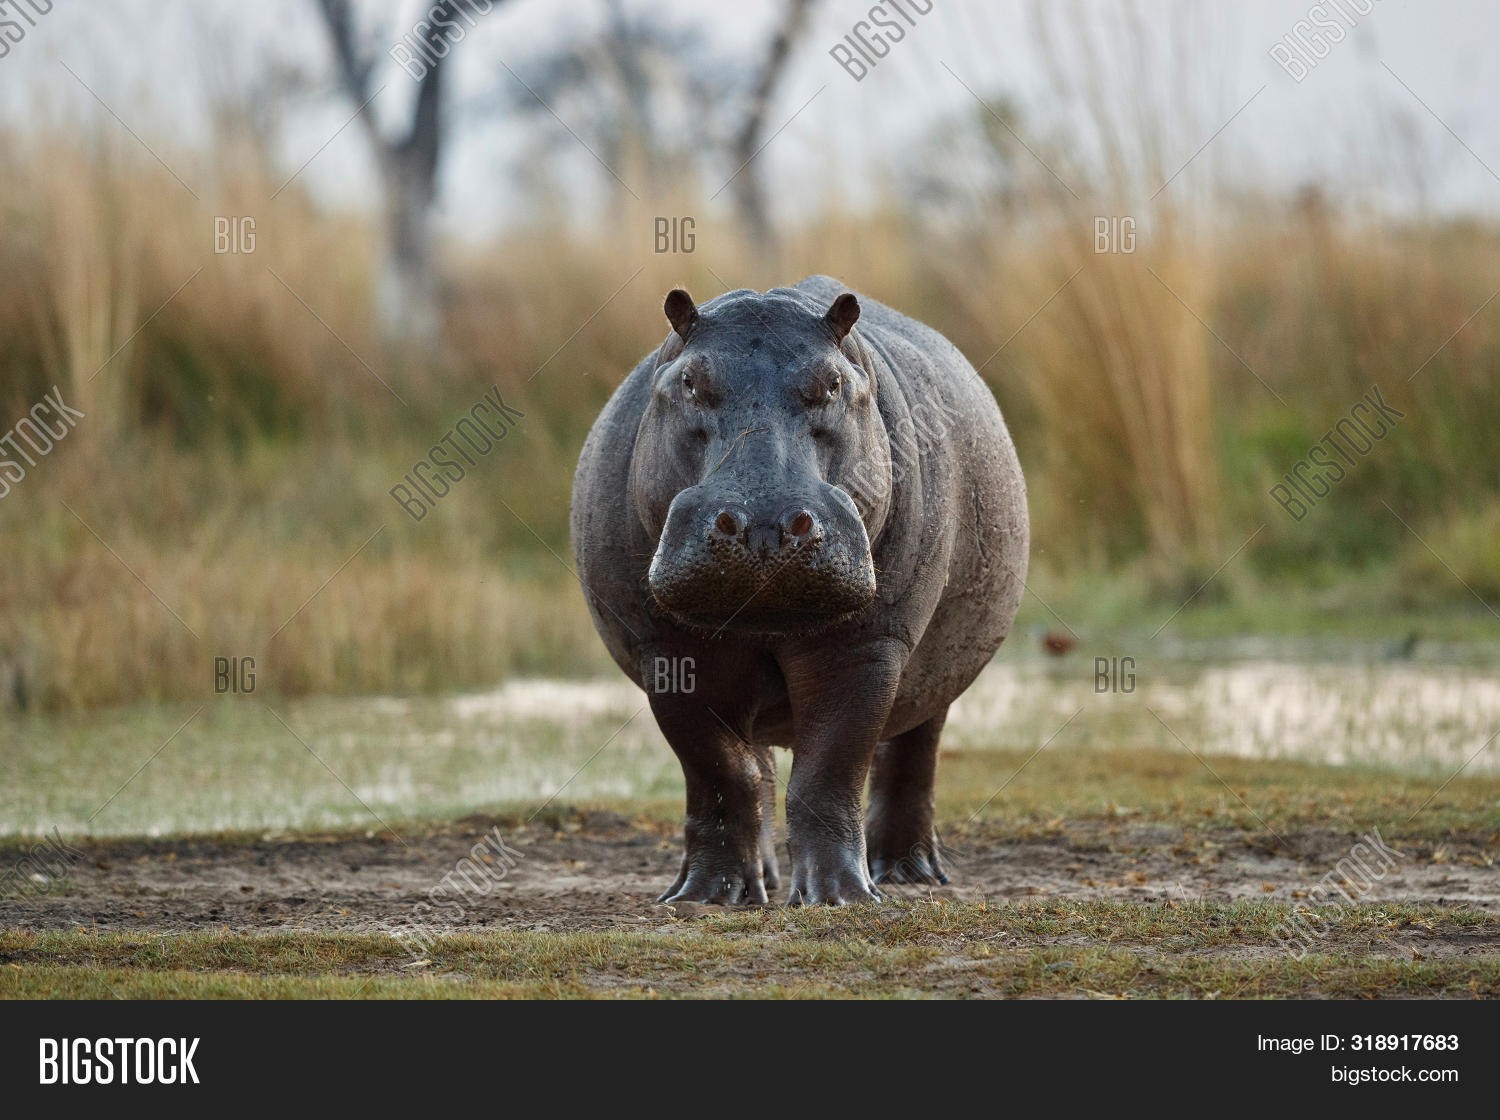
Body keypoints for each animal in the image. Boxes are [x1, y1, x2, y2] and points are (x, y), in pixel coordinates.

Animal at [570, 275, 1028, 905]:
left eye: (832, 383)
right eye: (689, 381)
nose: (764, 521)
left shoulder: (868, 646)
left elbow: (830, 769)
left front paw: (841, 896)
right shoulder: (667, 651)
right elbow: (720, 772)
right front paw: (703, 896)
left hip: (939, 665)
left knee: (915, 750)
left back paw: (905, 872)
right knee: (759, 763)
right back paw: (759, 883)